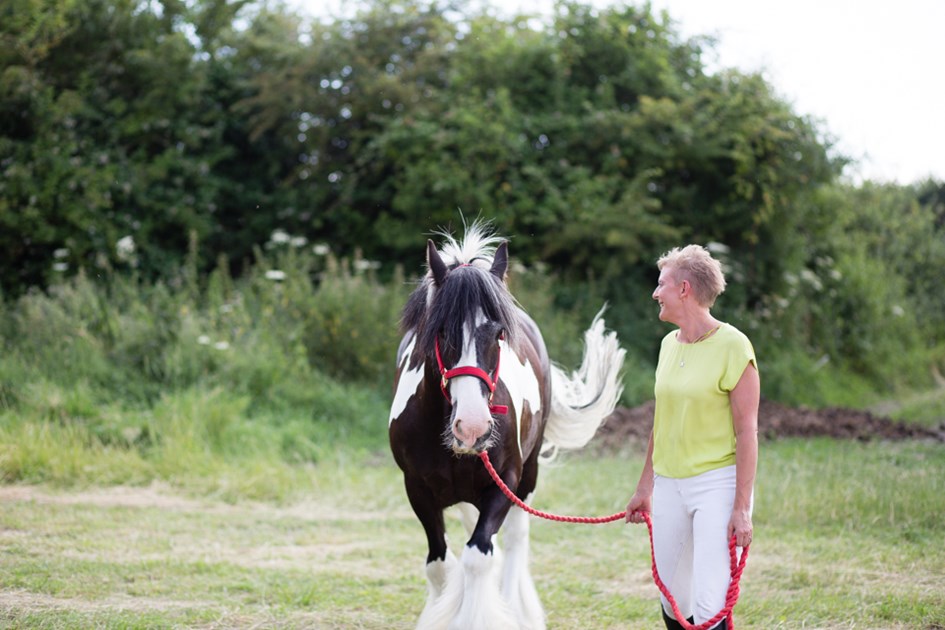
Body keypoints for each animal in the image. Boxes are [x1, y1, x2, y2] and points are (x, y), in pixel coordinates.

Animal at [388, 222, 626, 630]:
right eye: (440, 331)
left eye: (498, 333)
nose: (472, 428)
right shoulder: (417, 489)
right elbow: (439, 566)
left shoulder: (505, 483)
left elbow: (478, 557)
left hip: (527, 477)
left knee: (515, 539)